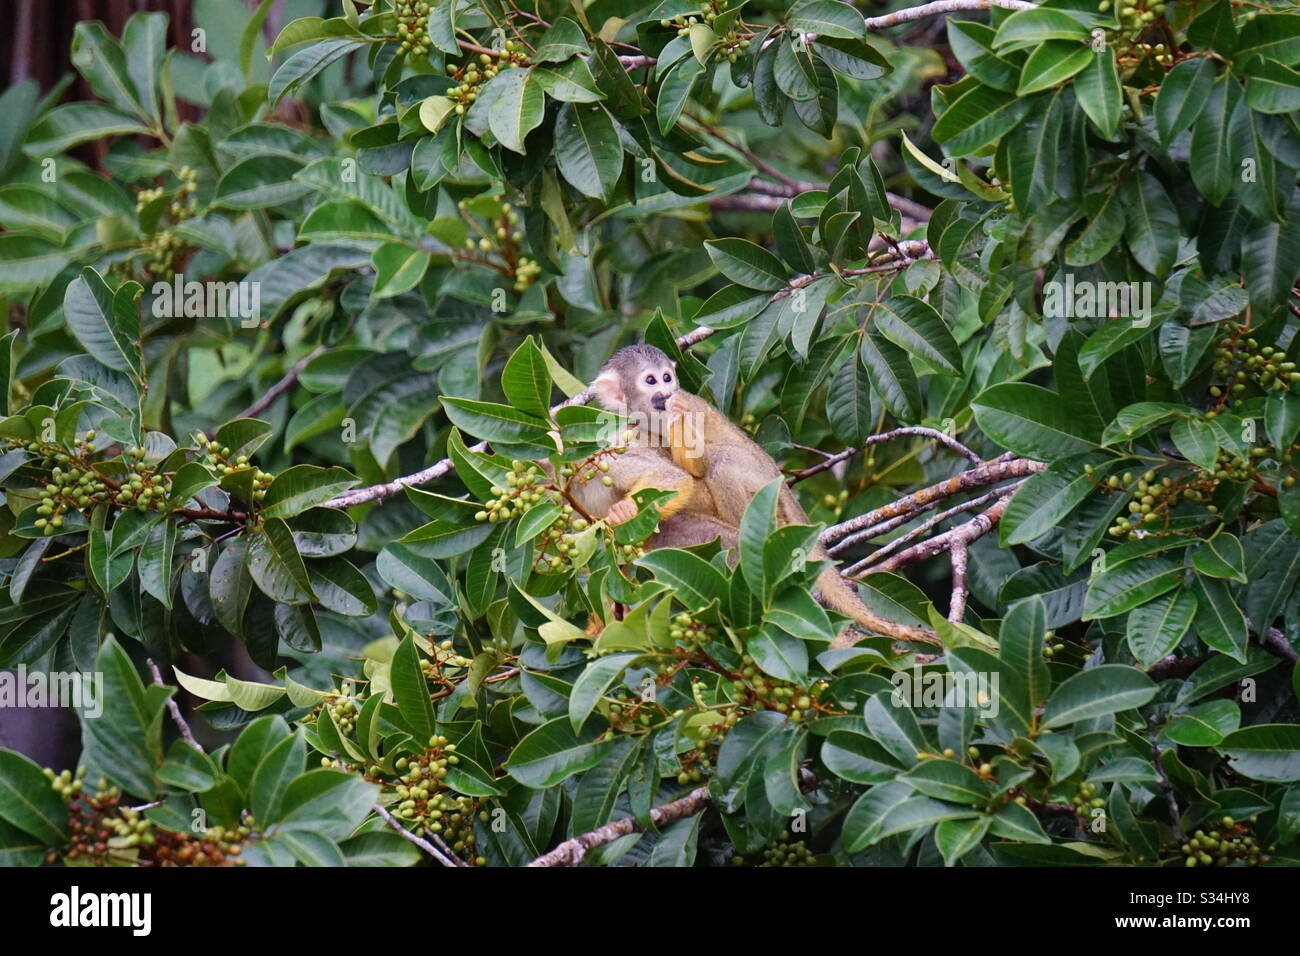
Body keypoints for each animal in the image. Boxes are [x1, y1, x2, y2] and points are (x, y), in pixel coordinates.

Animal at [590, 344, 940, 650]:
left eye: (666, 377)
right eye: (650, 380)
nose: (666, 392)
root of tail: (781, 483)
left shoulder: (687, 409)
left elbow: (693, 467)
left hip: (761, 482)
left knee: (722, 464)